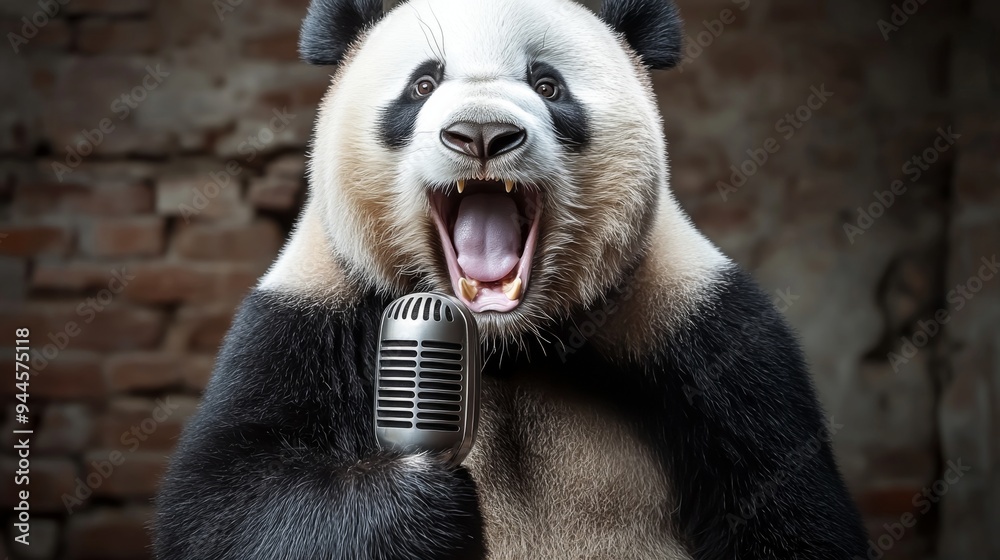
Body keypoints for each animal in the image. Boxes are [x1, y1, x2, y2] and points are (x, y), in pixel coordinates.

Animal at [154, 0, 869, 558]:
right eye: (423, 84)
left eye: (548, 85)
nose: (481, 133)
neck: (503, 345)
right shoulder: (306, 317)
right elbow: (226, 505)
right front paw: (422, 505)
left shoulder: (705, 332)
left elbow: (789, 517)